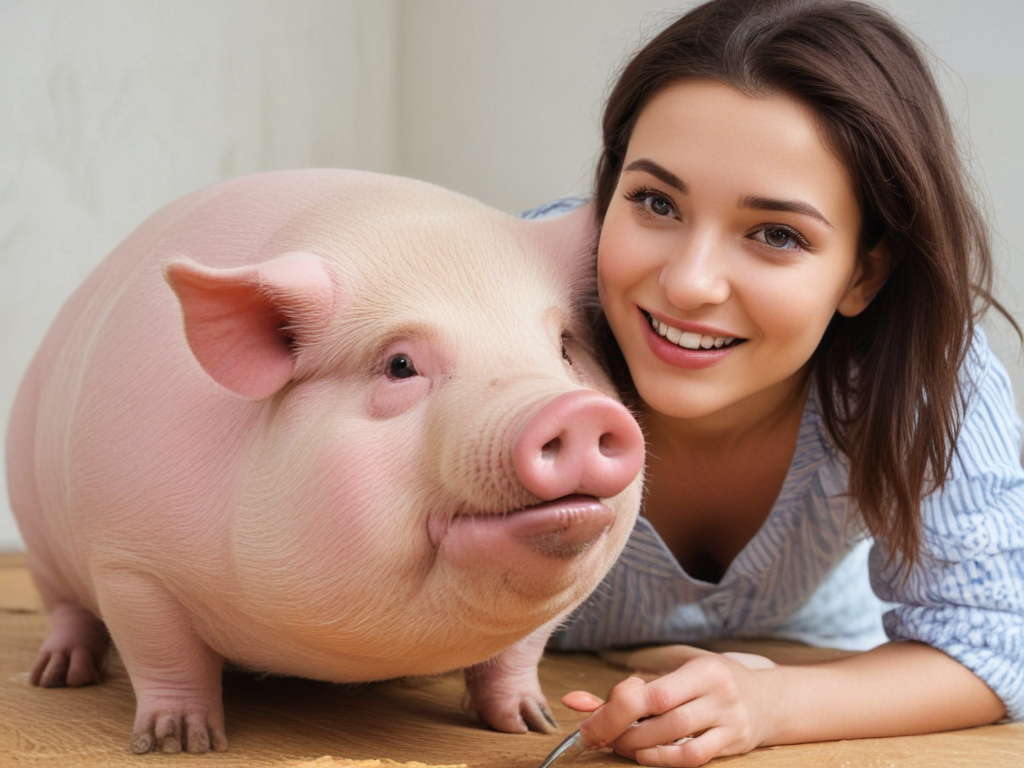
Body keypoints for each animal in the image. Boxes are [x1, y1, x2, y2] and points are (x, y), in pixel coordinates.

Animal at [5, 169, 644, 754]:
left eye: (564, 348)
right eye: (400, 365)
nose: (576, 409)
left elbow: (517, 654)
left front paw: (533, 724)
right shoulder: (126, 562)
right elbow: (162, 651)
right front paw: (181, 744)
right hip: (38, 536)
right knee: (66, 610)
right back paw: (58, 676)